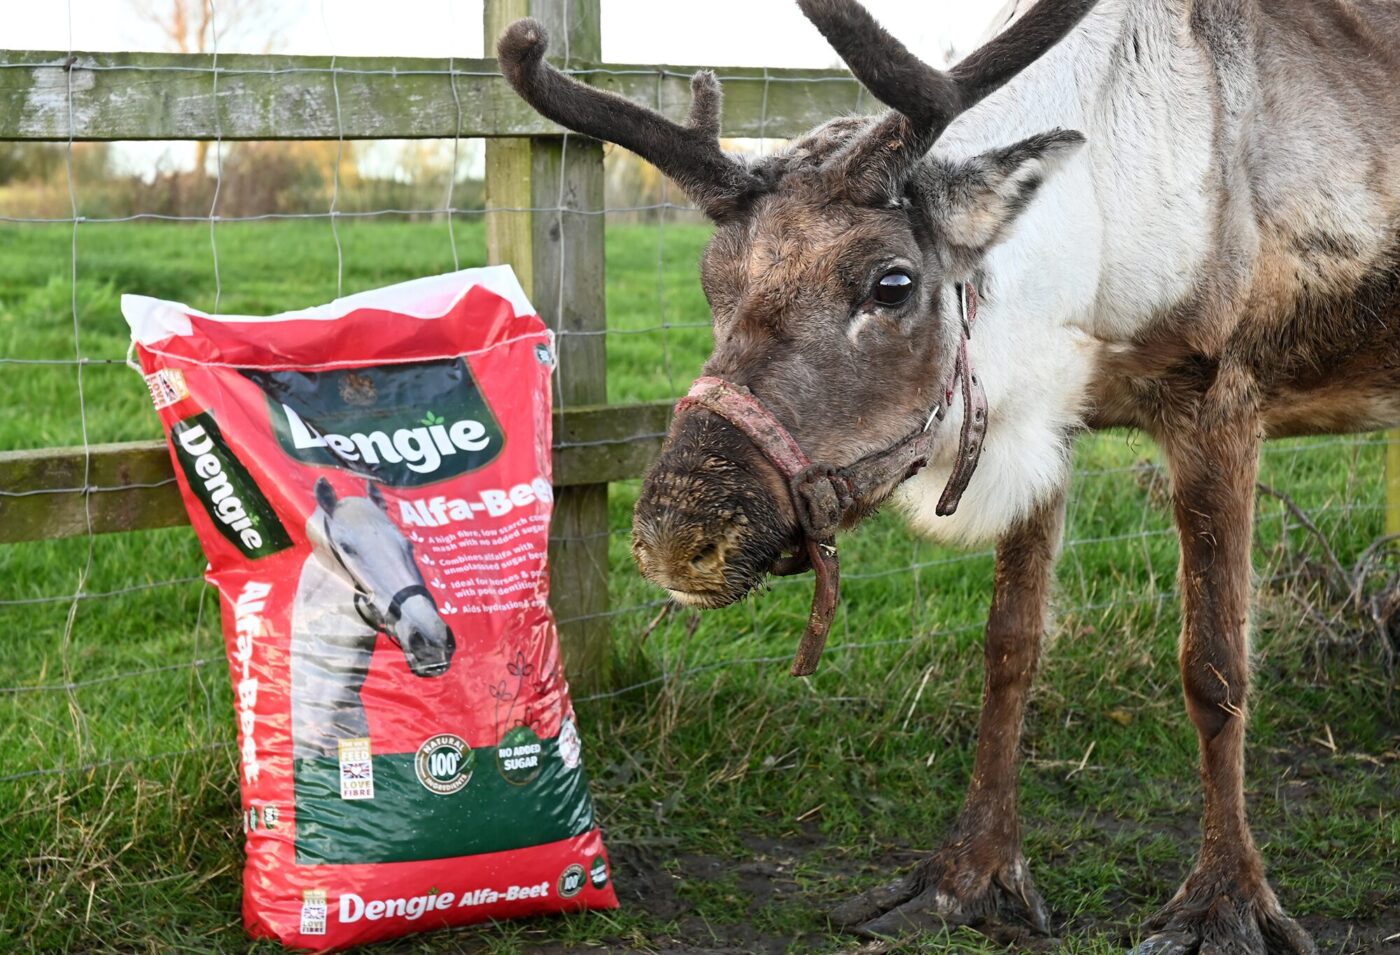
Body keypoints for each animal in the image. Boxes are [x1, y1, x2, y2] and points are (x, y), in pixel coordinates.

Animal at [498, 0, 1400, 951]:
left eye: (892, 283)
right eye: (714, 281)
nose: (676, 536)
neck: (1094, 249)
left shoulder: (1220, 398)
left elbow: (1216, 668)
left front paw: (1224, 902)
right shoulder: (1038, 421)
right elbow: (1009, 646)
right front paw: (968, 876)